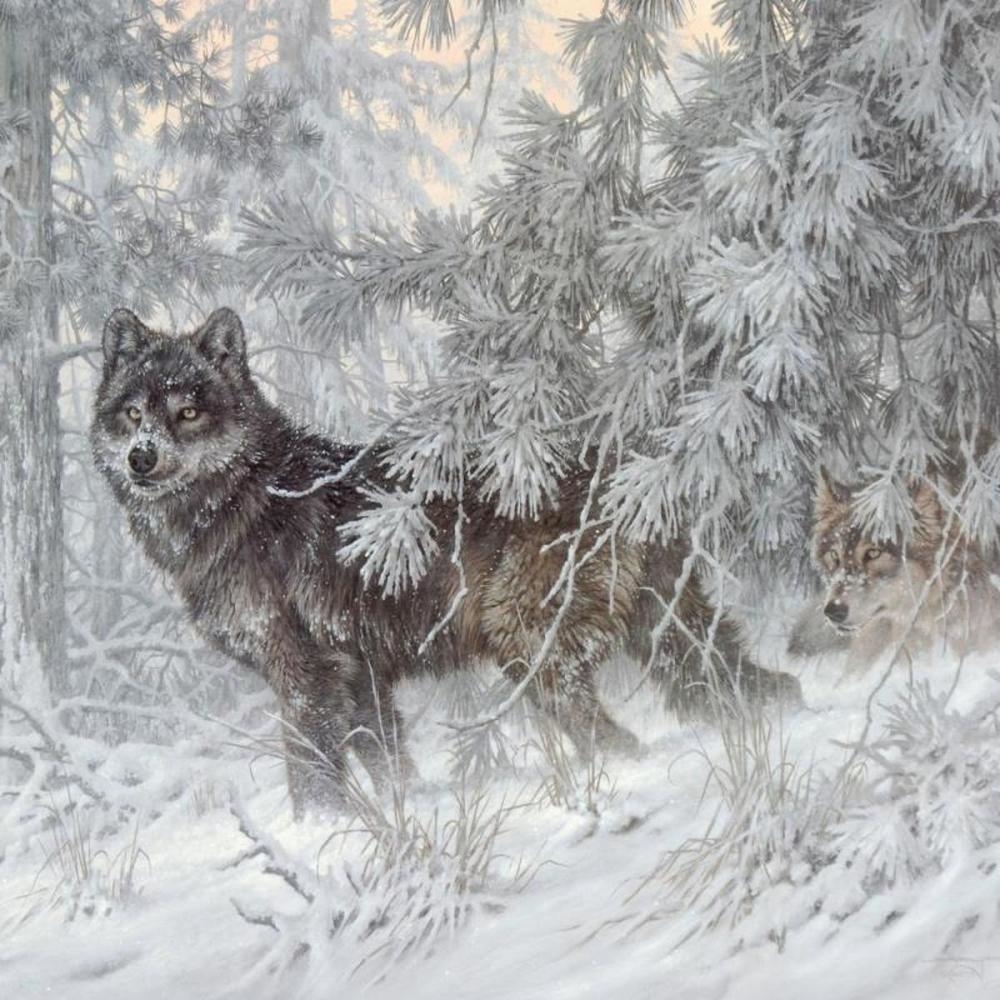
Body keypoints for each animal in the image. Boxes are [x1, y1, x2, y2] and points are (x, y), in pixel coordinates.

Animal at [92, 307, 801, 812]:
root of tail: (629, 470)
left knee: (614, 738)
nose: (141, 457)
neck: (248, 498)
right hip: (668, 633)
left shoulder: (307, 673)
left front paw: (323, 836)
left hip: (526, 644)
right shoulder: (362, 677)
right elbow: (389, 765)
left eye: (188, 412)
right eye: (133, 413)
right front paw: (400, 819)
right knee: (746, 686)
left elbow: (310, 776)